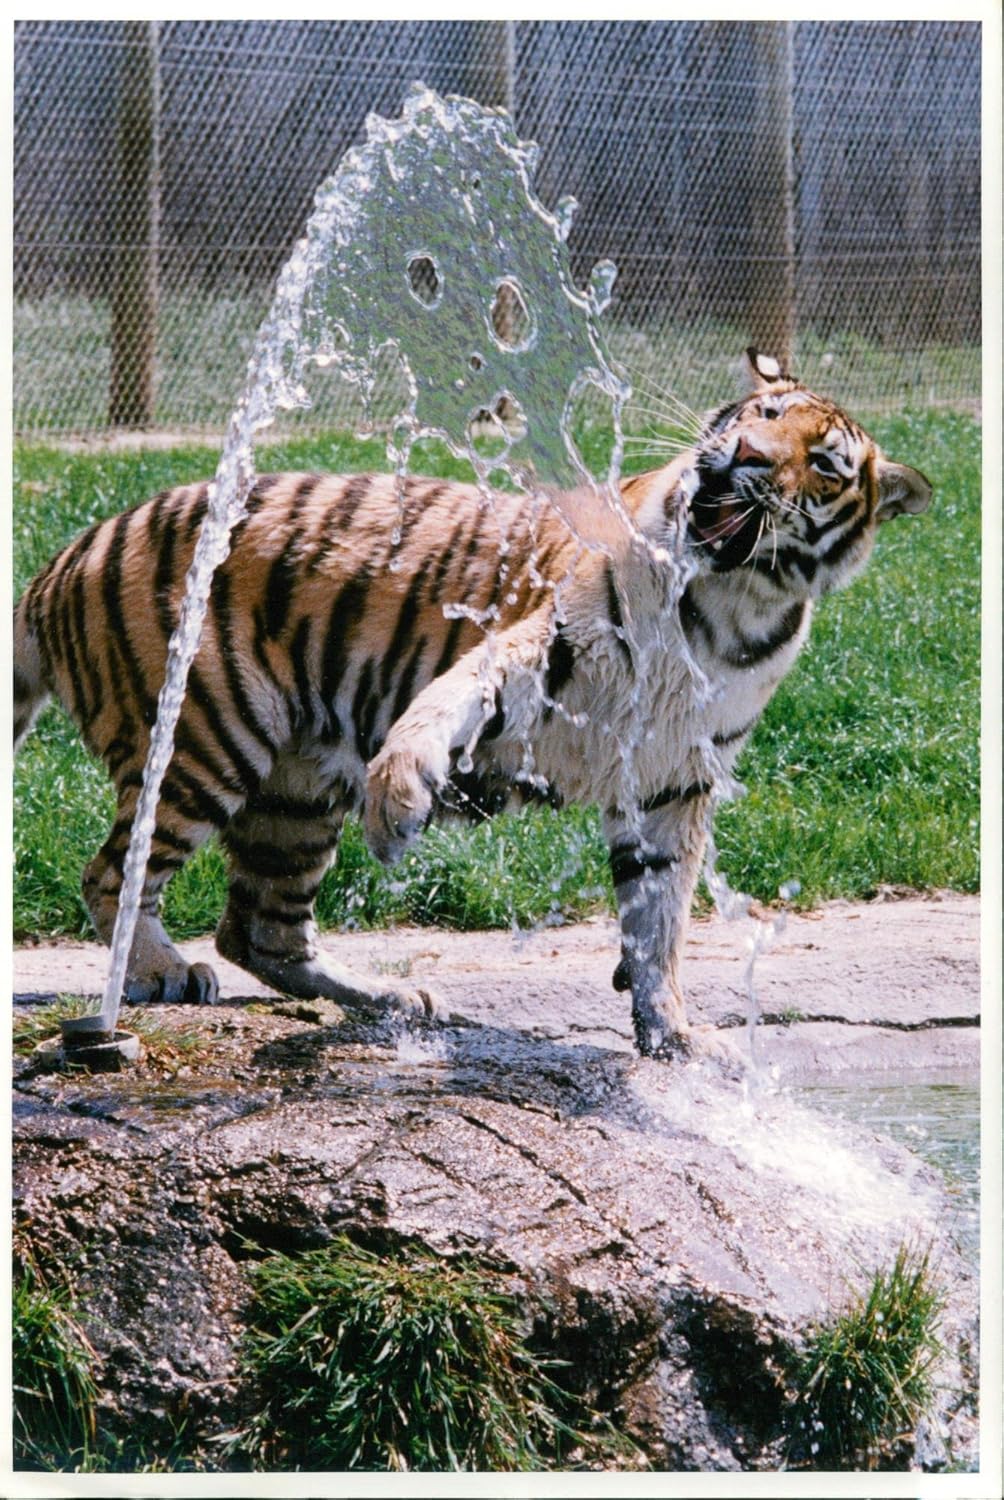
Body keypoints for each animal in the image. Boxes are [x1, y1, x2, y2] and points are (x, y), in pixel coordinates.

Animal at [13, 349, 931, 1062]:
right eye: (766, 413)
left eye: (824, 464)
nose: (741, 455)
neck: (732, 600)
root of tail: (63, 556)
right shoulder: (543, 648)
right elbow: (449, 701)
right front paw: (400, 797)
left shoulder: (674, 779)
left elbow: (661, 916)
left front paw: (672, 1034)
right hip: (208, 739)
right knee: (114, 873)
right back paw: (162, 971)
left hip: (297, 791)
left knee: (260, 927)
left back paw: (391, 999)